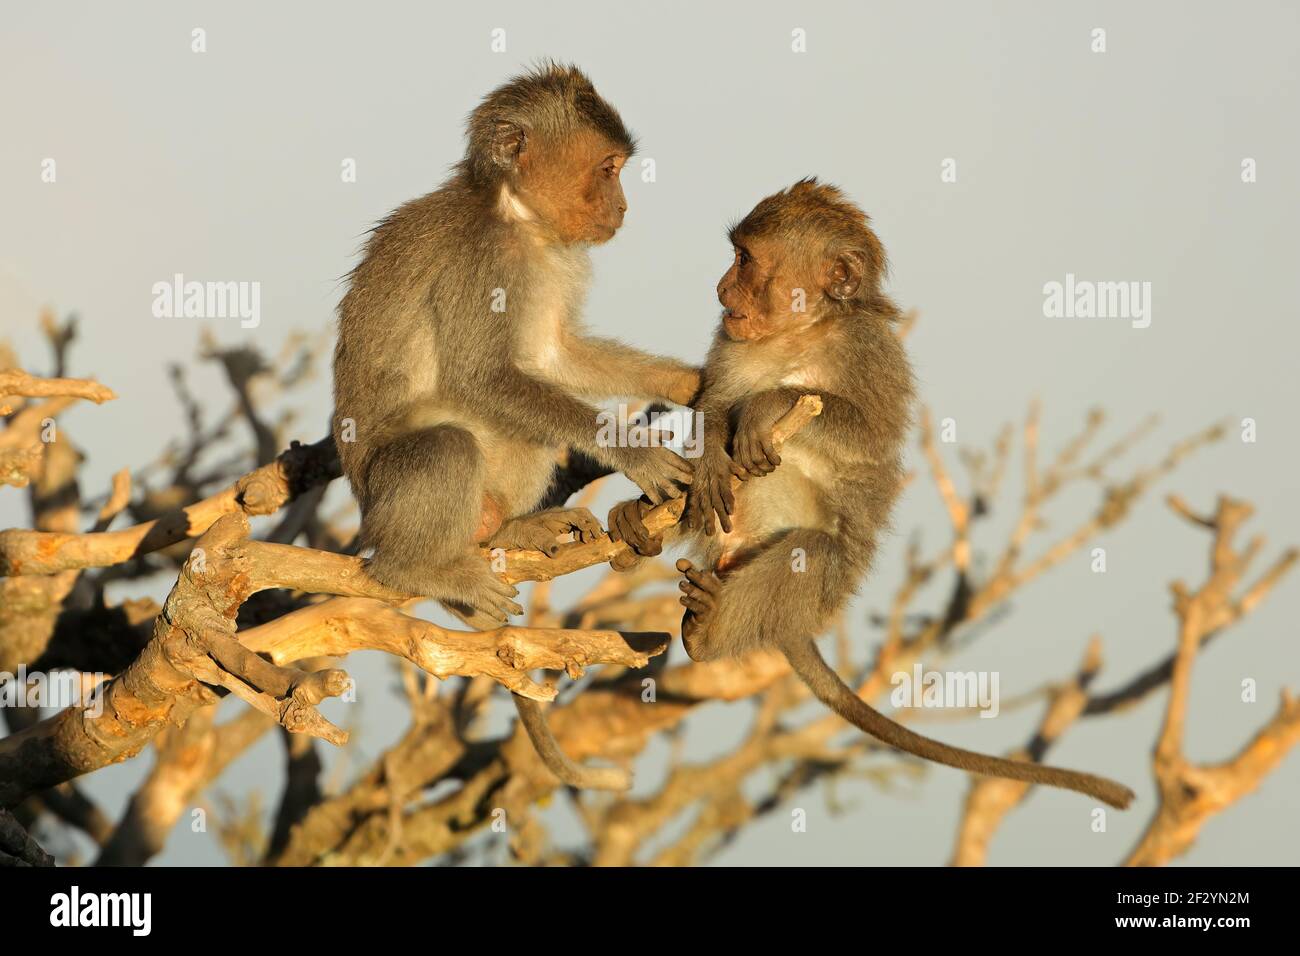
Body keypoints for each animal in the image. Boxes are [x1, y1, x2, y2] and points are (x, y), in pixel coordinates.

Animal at [331, 64, 697, 790]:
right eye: (608, 168)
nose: (622, 208)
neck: (517, 218)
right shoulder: (485, 261)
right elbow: (483, 377)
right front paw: (637, 455)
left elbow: (554, 359)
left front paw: (684, 381)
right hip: (386, 497)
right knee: (448, 446)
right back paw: (419, 567)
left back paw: (509, 531)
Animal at [608, 179, 1135, 809]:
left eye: (746, 260)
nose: (720, 289)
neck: (801, 332)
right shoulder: (730, 344)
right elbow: (712, 409)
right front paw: (712, 454)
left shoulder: (867, 350)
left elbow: (868, 434)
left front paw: (765, 406)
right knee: (696, 503)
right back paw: (637, 527)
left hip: (831, 579)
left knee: (808, 552)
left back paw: (710, 628)